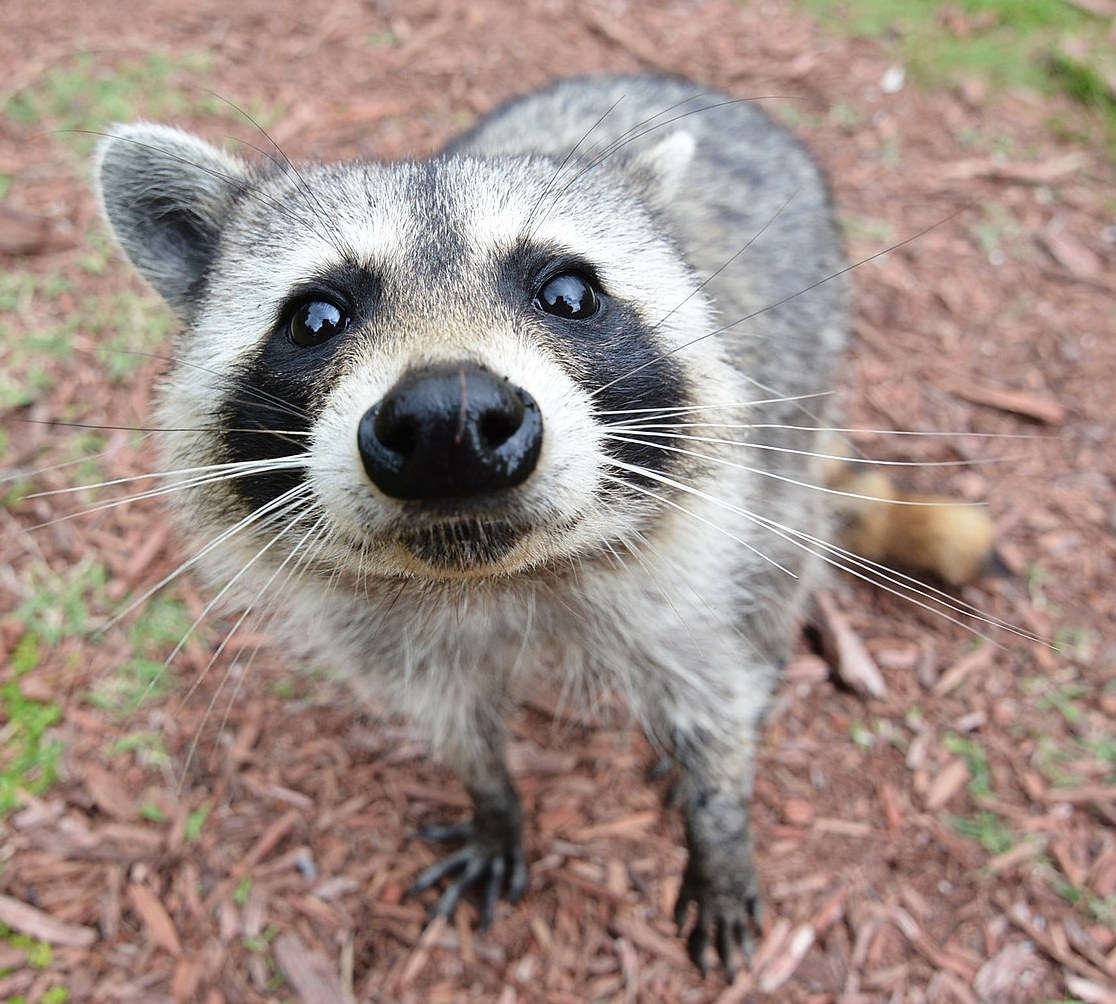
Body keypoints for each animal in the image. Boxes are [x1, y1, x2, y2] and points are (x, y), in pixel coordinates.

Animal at [93, 74, 989, 979]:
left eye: (568, 295)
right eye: (315, 318)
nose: (448, 422)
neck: (491, 577)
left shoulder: (697, 551)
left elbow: (709, 681)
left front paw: (720, 819)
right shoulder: (385, 633)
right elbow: (451, 718)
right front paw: (492, 797)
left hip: (799, 404)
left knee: (776, 565)